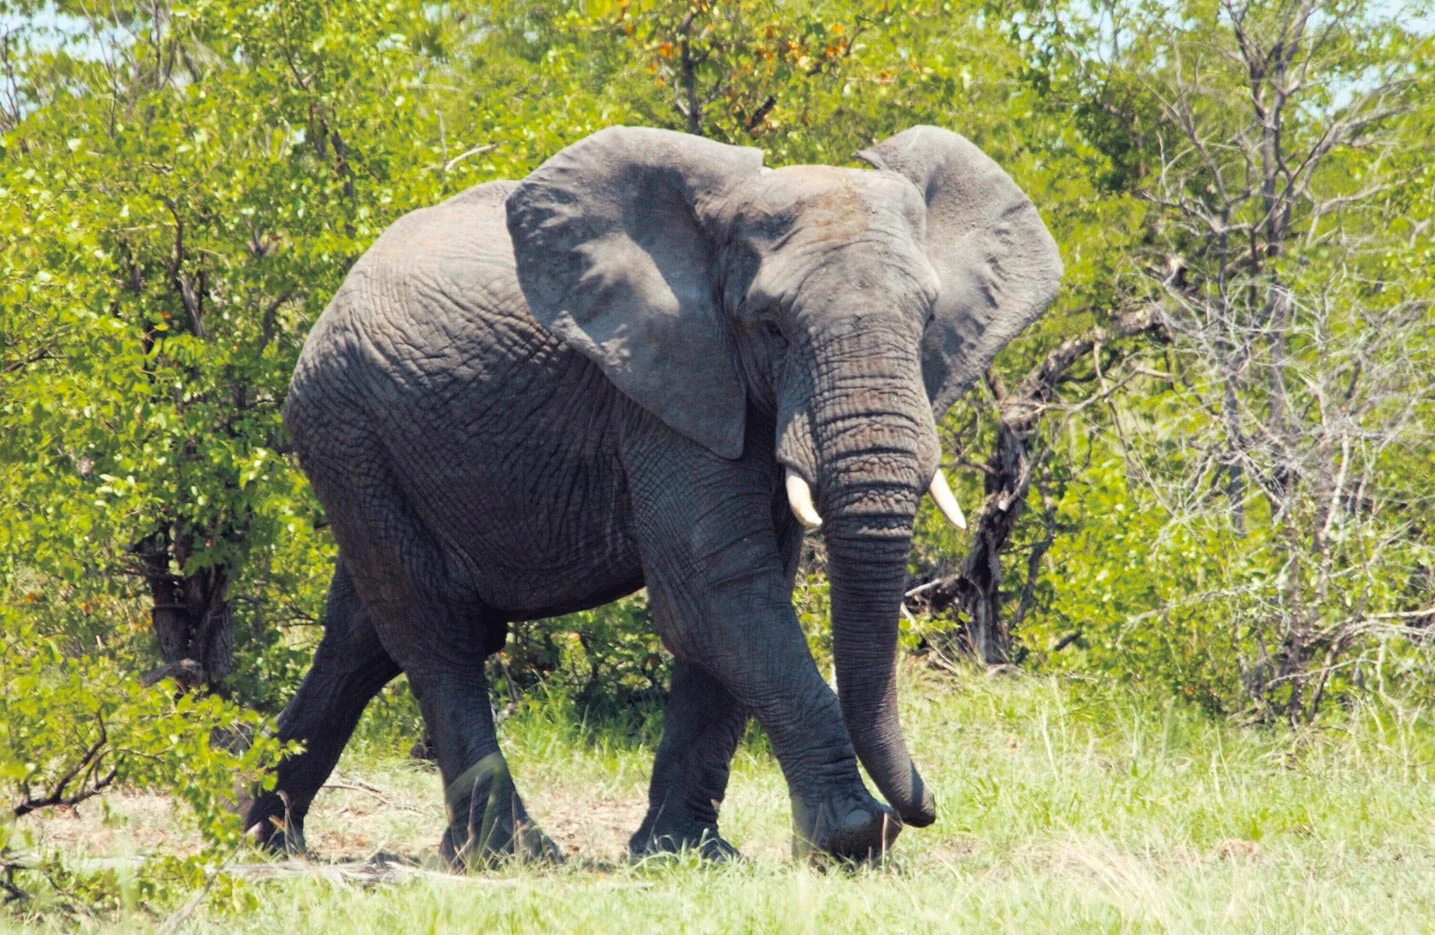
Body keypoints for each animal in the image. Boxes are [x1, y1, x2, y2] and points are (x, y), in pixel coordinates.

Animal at [241, 124, 1062, 865]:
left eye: (925, 322)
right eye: (770, 327)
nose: (925, 804)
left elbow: (736, 598)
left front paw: (688, 854)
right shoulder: (658, 386)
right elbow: (714, 590)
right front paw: (855, 838)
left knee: (362, 637)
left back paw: (259, 832)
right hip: (345, 427)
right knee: (435, 630)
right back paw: (510, 855)